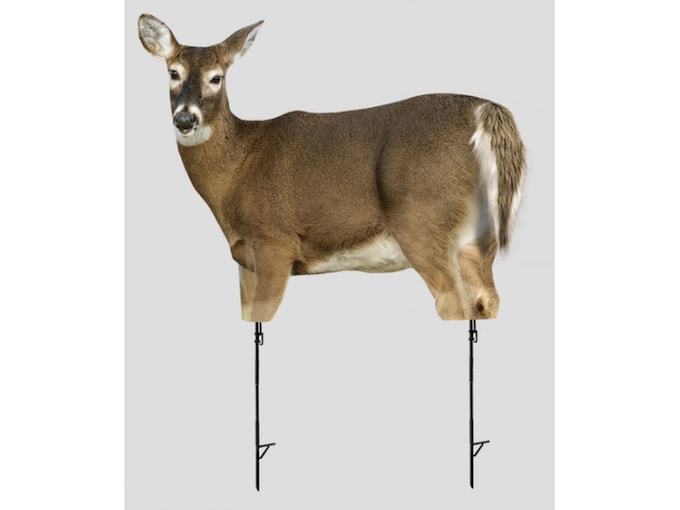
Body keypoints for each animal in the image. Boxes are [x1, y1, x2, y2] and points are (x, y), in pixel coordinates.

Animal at [137, 14, 526, 324]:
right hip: (477, 238)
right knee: (487, 302)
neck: (237, 169)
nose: (185, 118)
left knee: (455, 306)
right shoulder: (245, 259)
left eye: (217, 77)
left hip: (423, 221)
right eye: (173, 73)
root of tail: (484, 110)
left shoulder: (274, 242)